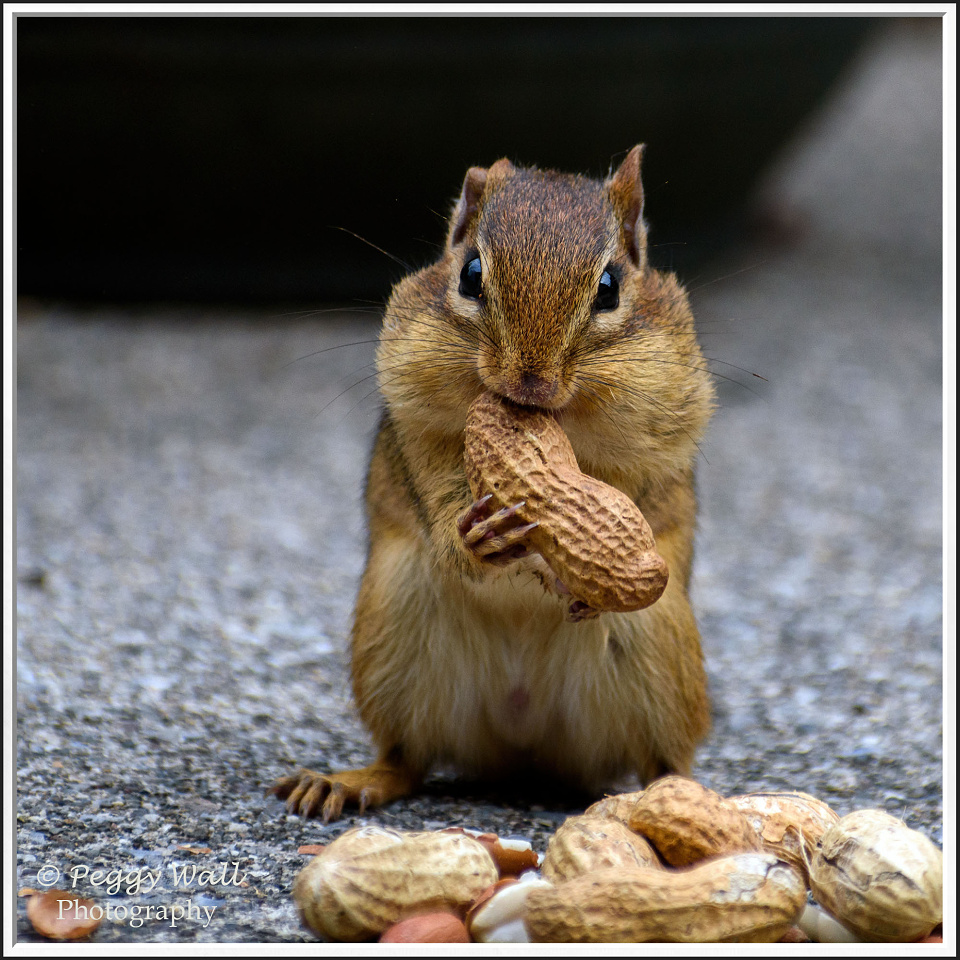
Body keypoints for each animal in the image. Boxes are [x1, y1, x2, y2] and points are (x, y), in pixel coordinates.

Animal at [272, 145, 716, 821]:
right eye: (470, 274)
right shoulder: (418, 425)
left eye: (609, 288)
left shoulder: (664, 423)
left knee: (663, 762)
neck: (552, 424)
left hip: (661, 656)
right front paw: (480, 539)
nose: (529, 380)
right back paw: (347, 782)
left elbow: (632, 495)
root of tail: (522, 748)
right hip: (392, 638)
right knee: (405, 759)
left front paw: (592, 566)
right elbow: (439, 491)